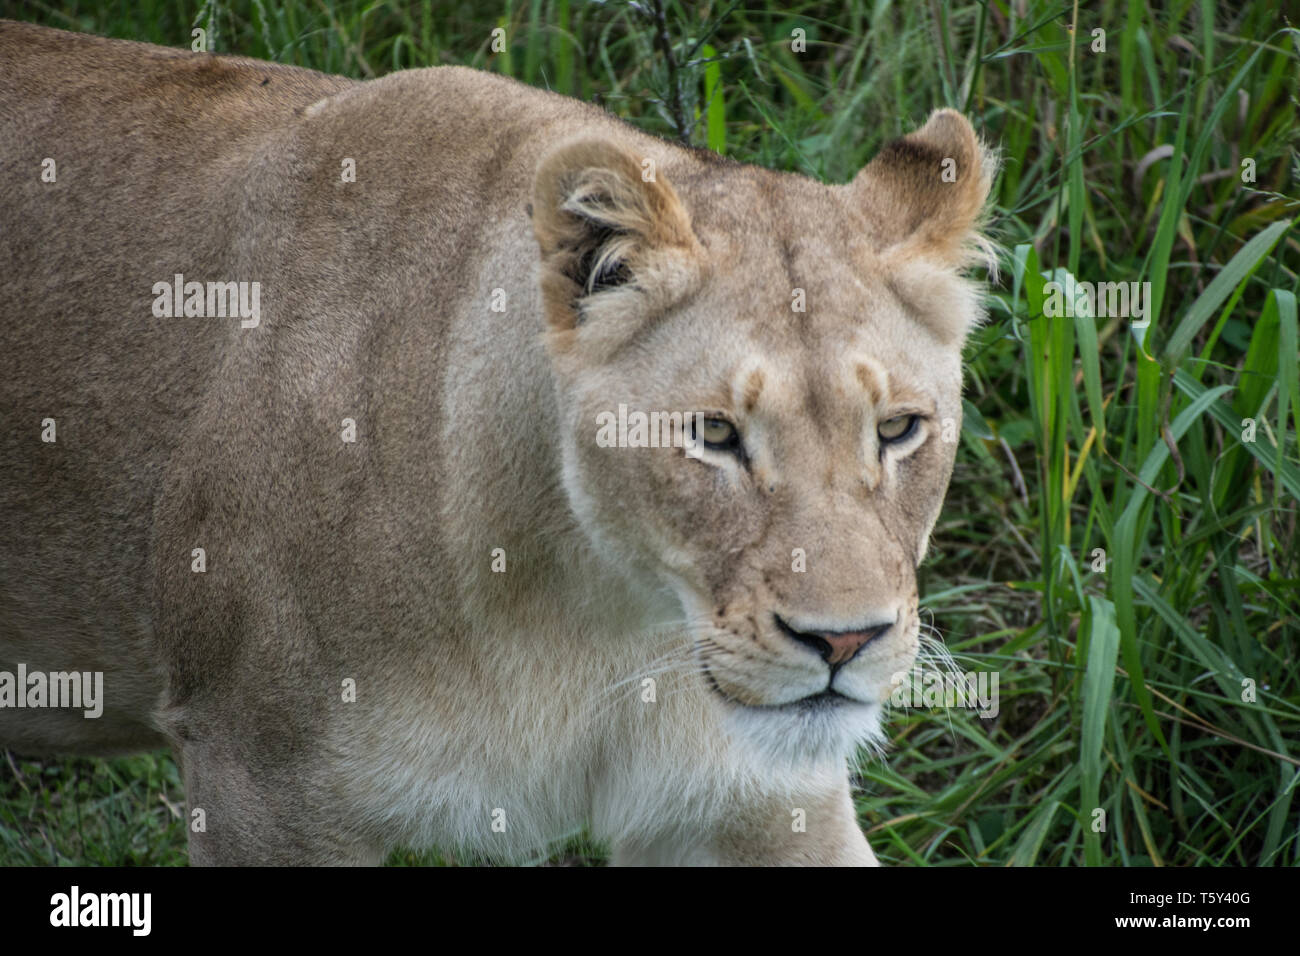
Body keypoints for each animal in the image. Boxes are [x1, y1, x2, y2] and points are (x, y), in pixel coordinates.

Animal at [0, 20, 996, 865]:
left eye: (898, 429)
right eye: (713, 434)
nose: (845, 641)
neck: (605, 619)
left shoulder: (754, 800)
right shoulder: (259, 778)